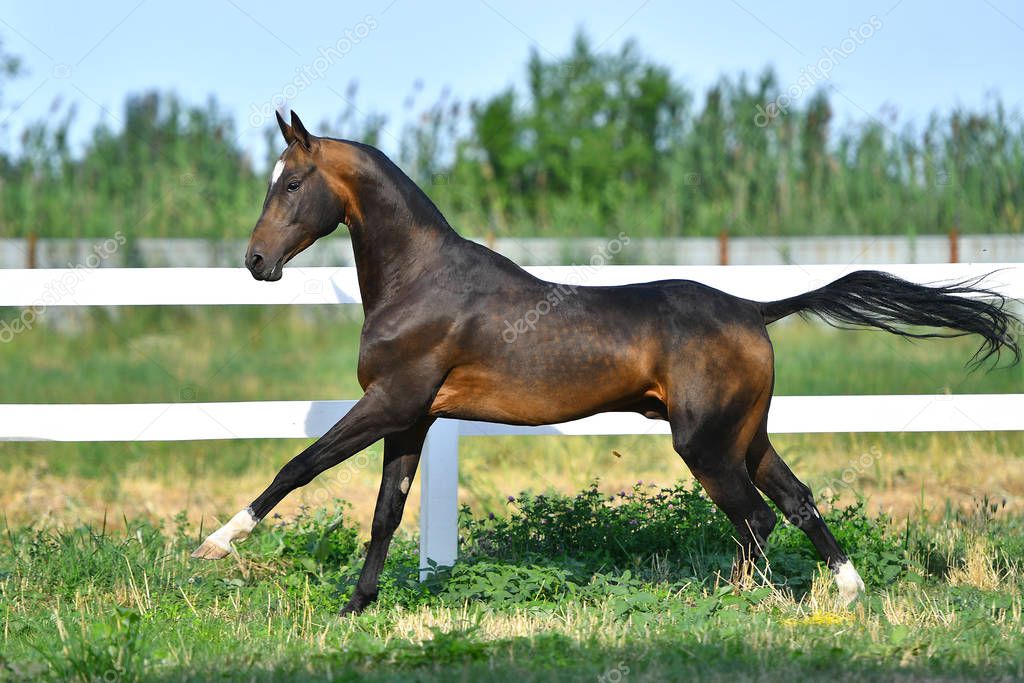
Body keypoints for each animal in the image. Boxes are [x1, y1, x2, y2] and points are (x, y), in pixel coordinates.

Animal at [192, 111, 1021, 615]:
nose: (256, 262)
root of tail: (754, 309)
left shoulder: (391, 401)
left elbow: (299, 465)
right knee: (798, 499)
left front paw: (214, 543)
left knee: (755, 516)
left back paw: (736, 599)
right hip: (746, 435)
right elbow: (386, 511)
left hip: (706, 443)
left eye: (291, 181)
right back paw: (846, 590)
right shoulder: (414, 415)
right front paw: (356, 606)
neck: (422, 282)